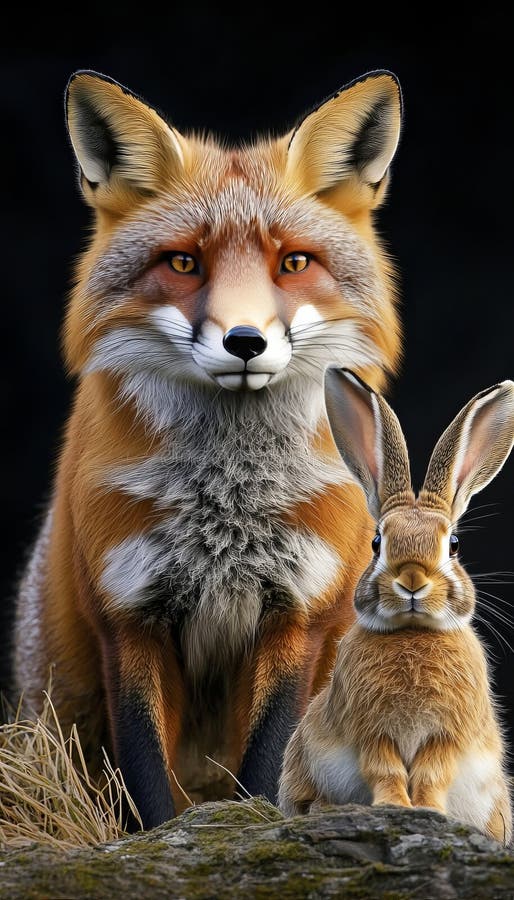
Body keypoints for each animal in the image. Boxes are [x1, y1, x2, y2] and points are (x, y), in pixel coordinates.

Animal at [14, 69, 402, 828]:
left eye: (294, 262)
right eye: (185, 262)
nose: (244, 341)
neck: (227, 502)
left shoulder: (299, 615)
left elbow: (266, 760)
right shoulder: (127, 615)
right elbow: (145, 777)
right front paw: (159, 836)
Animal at [278, 370, 514, 844]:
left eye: (453, 545)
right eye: (376, 543)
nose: (412, 580)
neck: (412, 632)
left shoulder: (445, 736)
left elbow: (431, 774)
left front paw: (428, 812)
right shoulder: (370, 732)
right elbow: (384, 769)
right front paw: (392, 808)